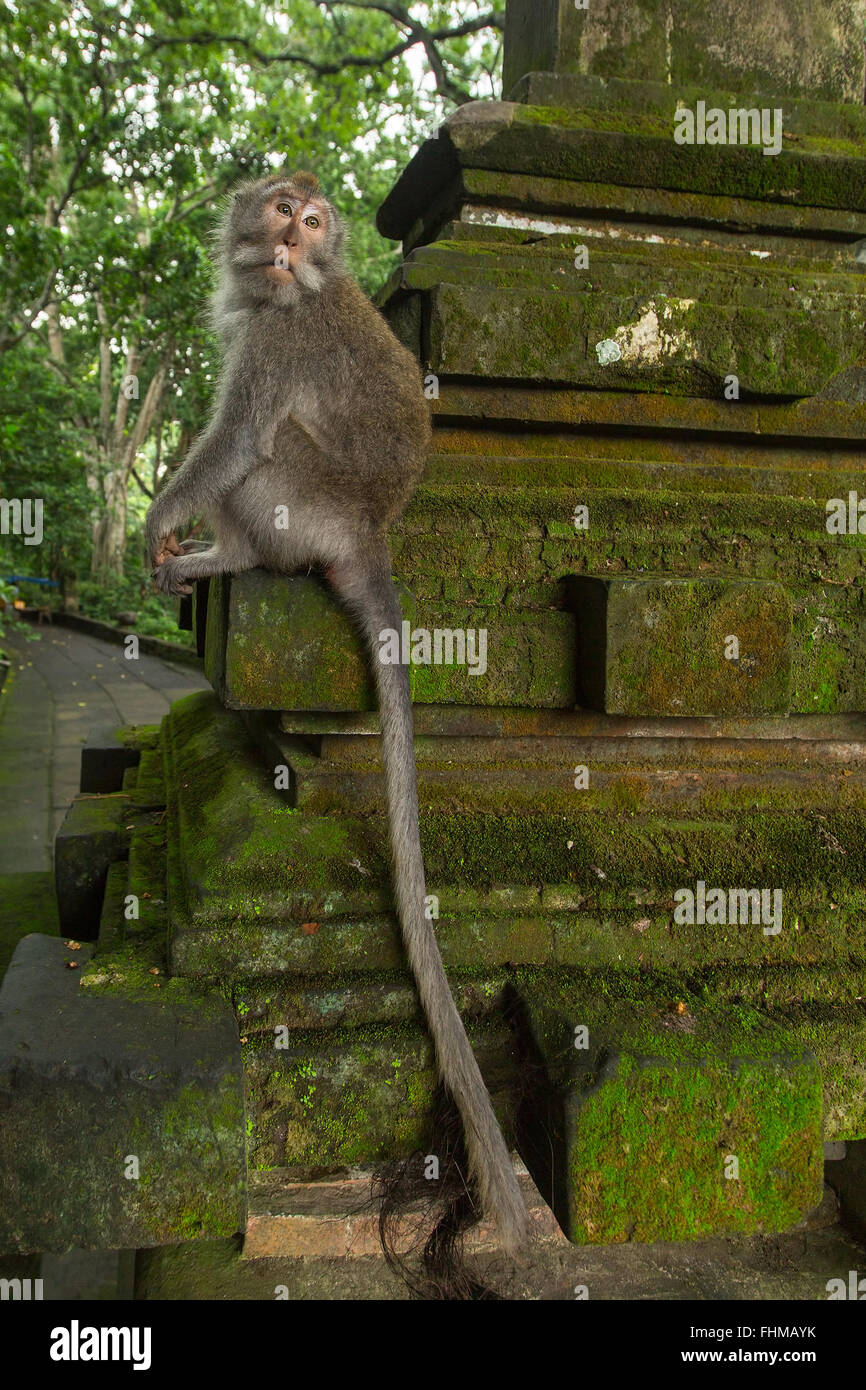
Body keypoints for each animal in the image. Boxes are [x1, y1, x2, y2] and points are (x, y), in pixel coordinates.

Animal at [144, 170, 531, 1259]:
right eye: (283, 209)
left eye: (313, 224)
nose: (288, 241)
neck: (284, 295)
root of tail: (369, 532)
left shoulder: (276, 349)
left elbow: (232, 439)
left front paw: (160, 522)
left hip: (301, 500)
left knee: (266, 456)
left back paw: (221, 556)